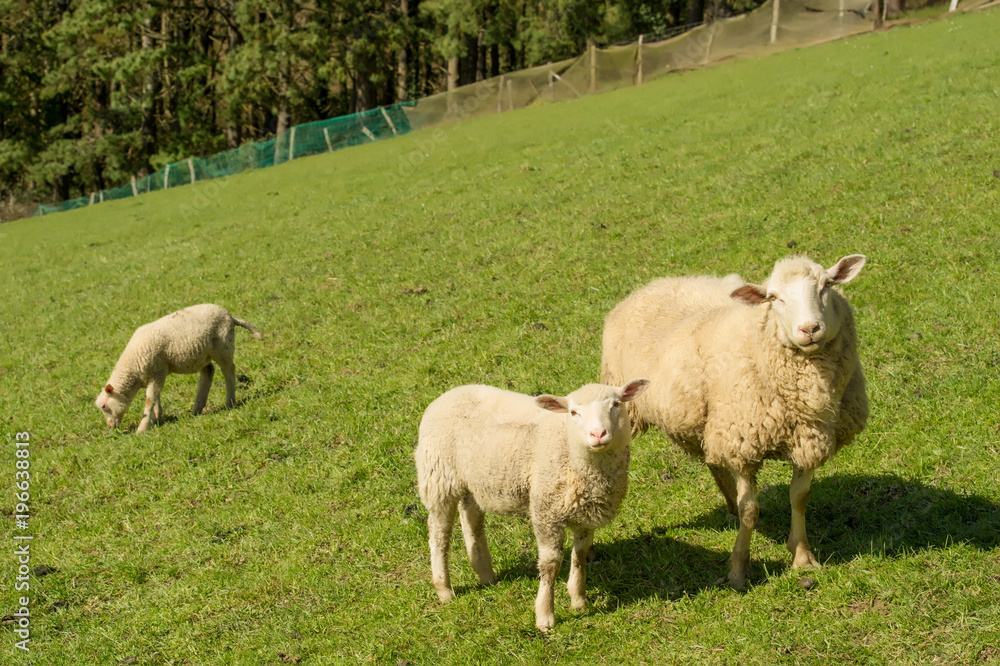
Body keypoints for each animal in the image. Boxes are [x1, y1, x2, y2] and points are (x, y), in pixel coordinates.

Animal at [95, 304, 262, 433]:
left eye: (104, 406)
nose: (110, 427)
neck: (133, 368)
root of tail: (230, 316)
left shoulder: (157, 371)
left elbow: (150, 400)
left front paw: (142, 428)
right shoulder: (156, 375)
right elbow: (156, 398)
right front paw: (157, 418)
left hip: (222, 347)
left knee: (229, 371)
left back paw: (229, 402)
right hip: (202, 354)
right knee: (208, 372)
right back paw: (197, 408)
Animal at [415, 378, 649, 632]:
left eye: (616, 404)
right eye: (573, 412)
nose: (598, 434)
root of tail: (450, 393)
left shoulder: (586, 514)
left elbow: (580, 555)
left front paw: (578, 599)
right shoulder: (546, 511)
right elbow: (550, 563)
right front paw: (545, 616)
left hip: (474, 481)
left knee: (471, 519)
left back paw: (486, 574)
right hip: (438, 477)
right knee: (439, 535)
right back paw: (444, 590)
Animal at [601, 255, 868, 589]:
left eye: (826, 286)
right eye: (774, 298)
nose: (809, 329)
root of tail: (650, 285)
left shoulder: (808, 439)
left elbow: (800, 498)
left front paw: (802, 557)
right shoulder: (742, 444)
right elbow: (750, 509)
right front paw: (739, 570)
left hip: (707, 420)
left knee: (712, 461)